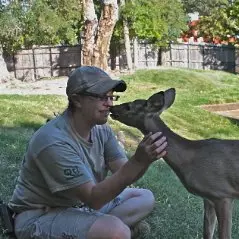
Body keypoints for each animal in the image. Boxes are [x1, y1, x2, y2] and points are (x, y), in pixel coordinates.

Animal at [110, 88, 239, 239]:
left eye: (129, 106)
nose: (112, 108)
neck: (190, 159)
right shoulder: (209, 198)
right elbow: (207, 232)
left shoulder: (223, 194)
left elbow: (224, 235)